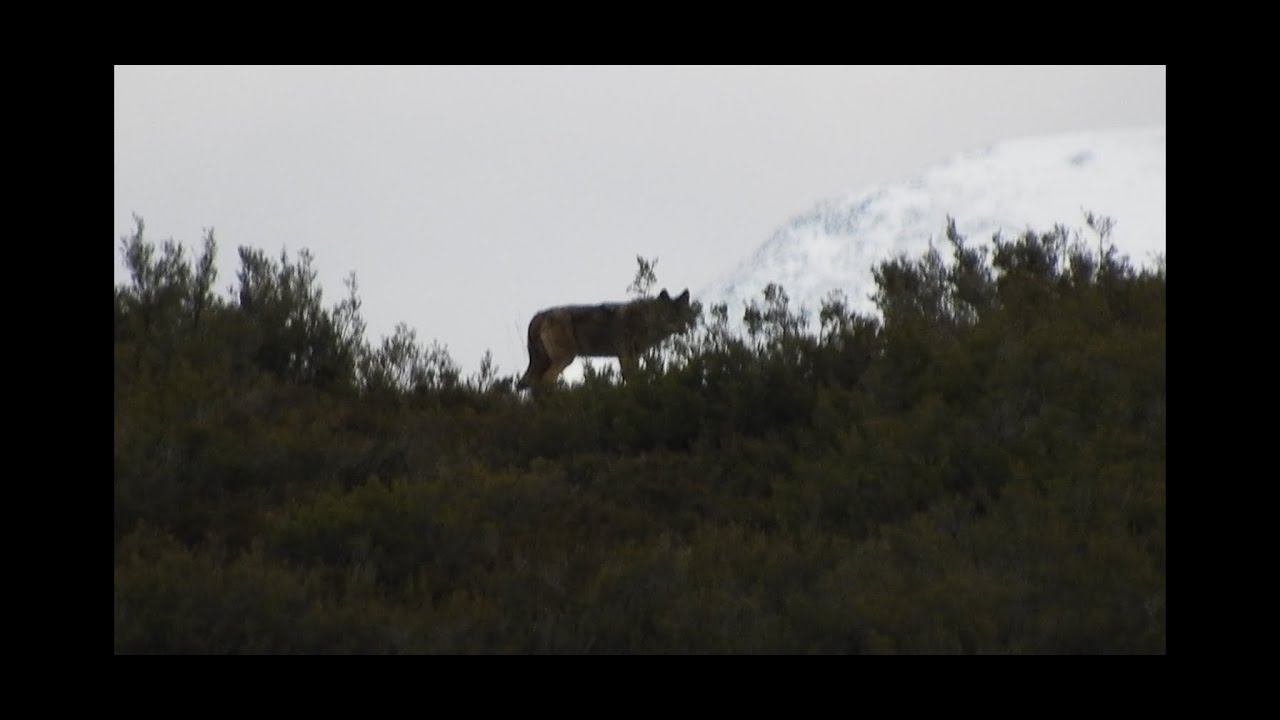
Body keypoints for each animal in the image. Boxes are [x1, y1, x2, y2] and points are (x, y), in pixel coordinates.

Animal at [517, 288, 698, 390]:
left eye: (683, 314)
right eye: (671, 316)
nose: (683, 328)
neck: (646, 320)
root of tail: (538, 316)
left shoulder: (632, 355)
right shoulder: (626, 354)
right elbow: (631, 377)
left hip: (543, 362)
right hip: (565, 359)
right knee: (547, 380)